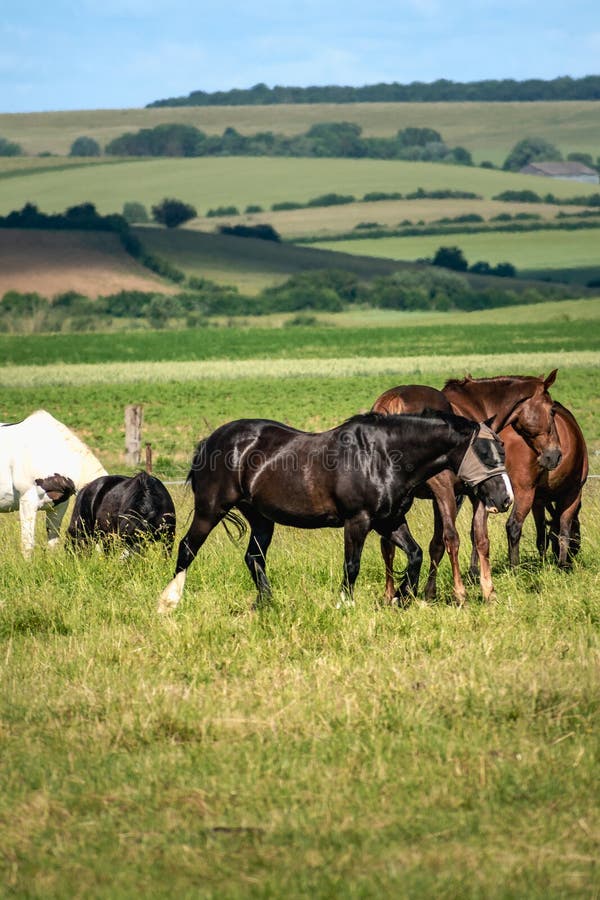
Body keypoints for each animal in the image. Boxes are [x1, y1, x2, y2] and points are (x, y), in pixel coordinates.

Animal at [157, 411, 513, 614]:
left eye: (504, 450)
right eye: (484, 451)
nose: (506, 498)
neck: (383, 455)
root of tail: (210, 440)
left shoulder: (390, 521)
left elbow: (415, 555)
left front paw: (400, 597)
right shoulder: (358, 521)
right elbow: (351, 565)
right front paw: (346, 603)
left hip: (260, 518)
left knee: (253, 558)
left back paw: (268, 605)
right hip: (210, 510)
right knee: (187, 548)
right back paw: (169, 602)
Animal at [371, 371, 561, 603]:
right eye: (552, 410)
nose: (555, 455)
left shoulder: (440, 500)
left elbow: (436, 544)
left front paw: (429, 592)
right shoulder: (472, 495)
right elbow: (479, 538)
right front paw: (488, 590)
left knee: (387, 544)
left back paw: (389, 594)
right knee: (452, 539)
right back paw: (460, 593)